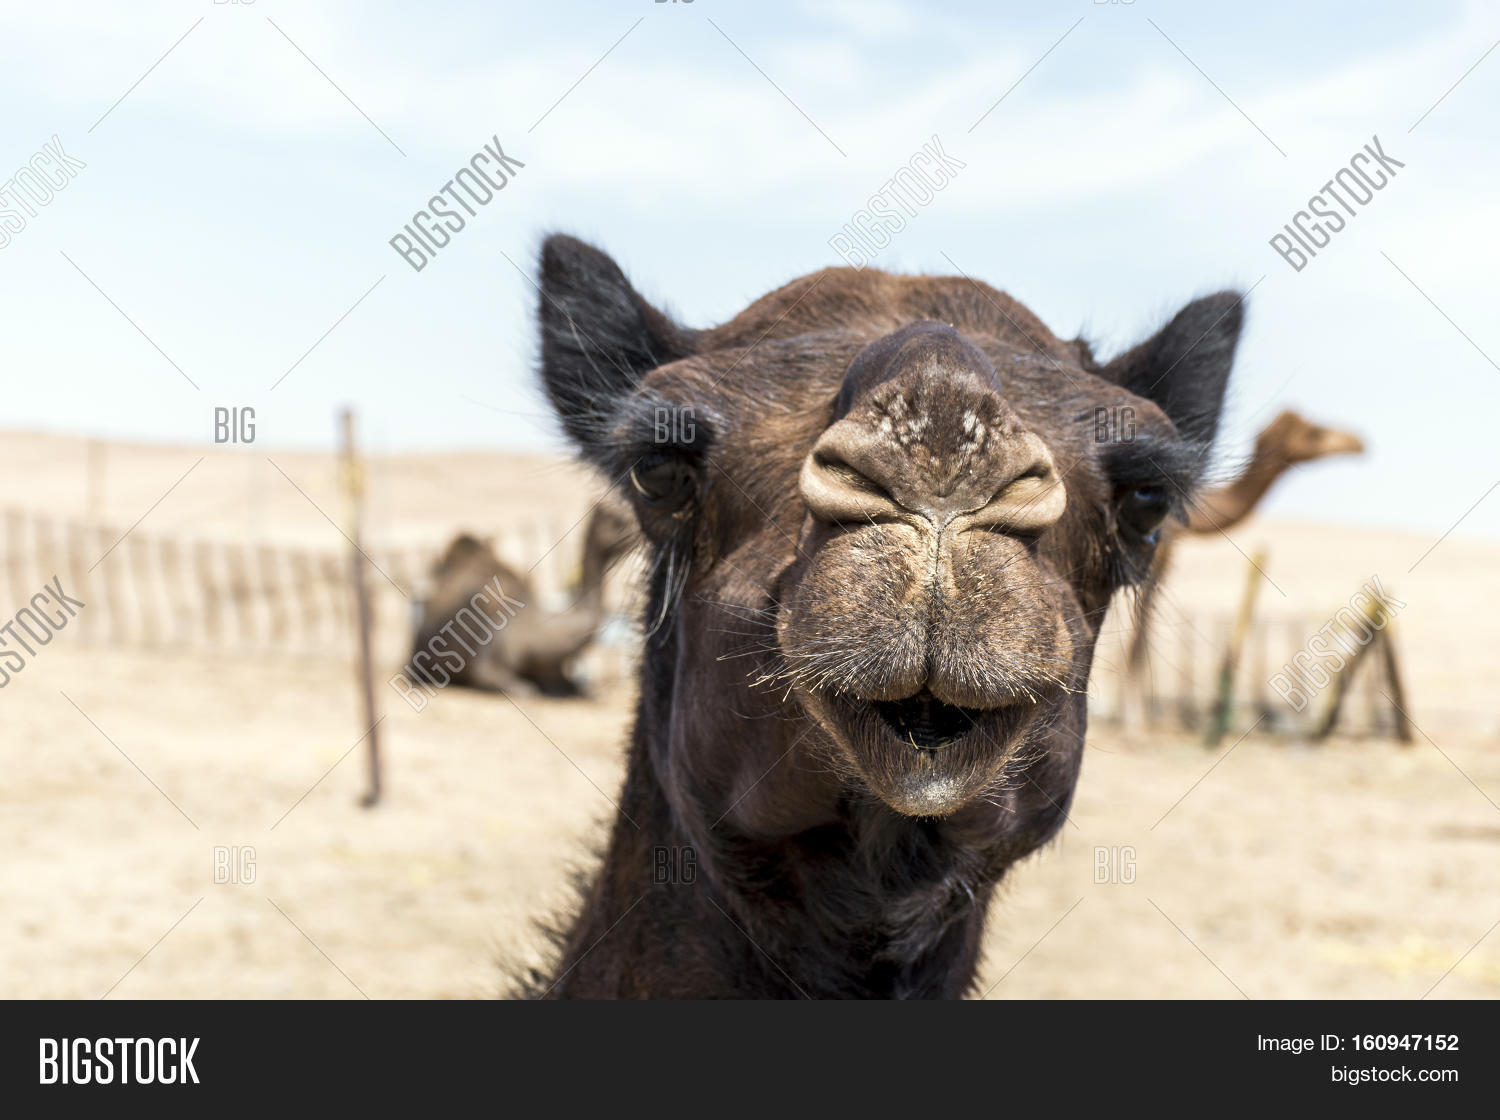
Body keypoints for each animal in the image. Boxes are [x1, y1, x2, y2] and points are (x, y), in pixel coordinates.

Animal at [411, 498, 634, 697]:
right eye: (616, 519)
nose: (636, 529)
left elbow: (576, 687)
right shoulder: (490, 643)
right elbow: (514, 685)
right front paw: (525, 689)